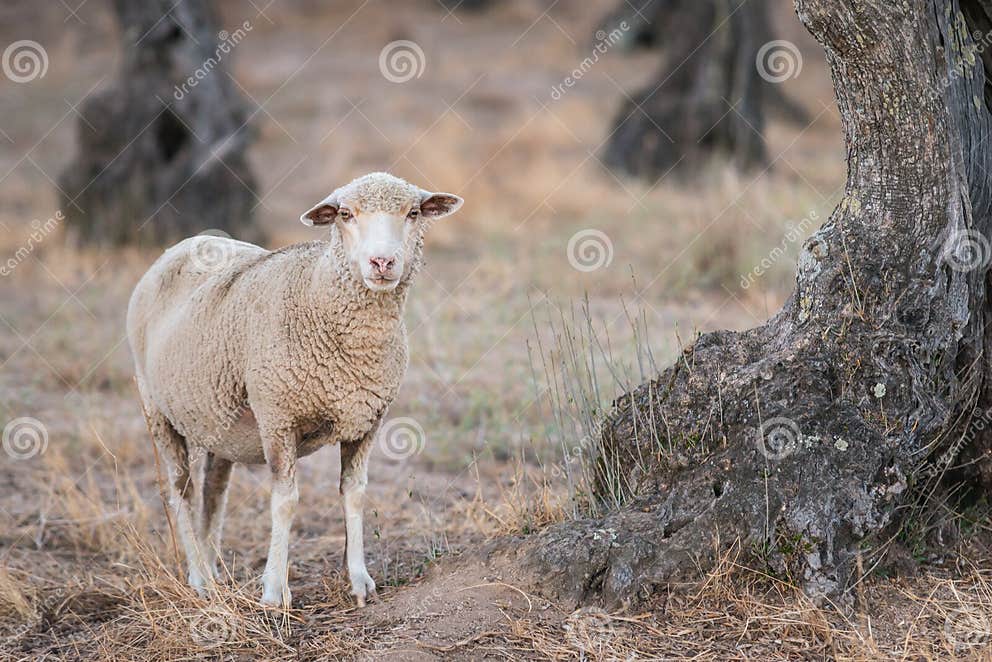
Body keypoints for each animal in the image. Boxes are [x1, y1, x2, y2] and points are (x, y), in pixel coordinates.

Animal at [126, 172, 463, 607]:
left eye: (415, 213)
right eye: (345, 214)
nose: (383, 263)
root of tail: (187, 243)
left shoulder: (367, 419)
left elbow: (355, 493)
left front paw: (359, 580)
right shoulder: (277, 417)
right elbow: (285, 503)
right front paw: (275, 591)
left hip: (221, 418)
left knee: (214, 491)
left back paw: (214, 569)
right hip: (155, 407)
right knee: (180, 490)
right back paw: (199, 577)